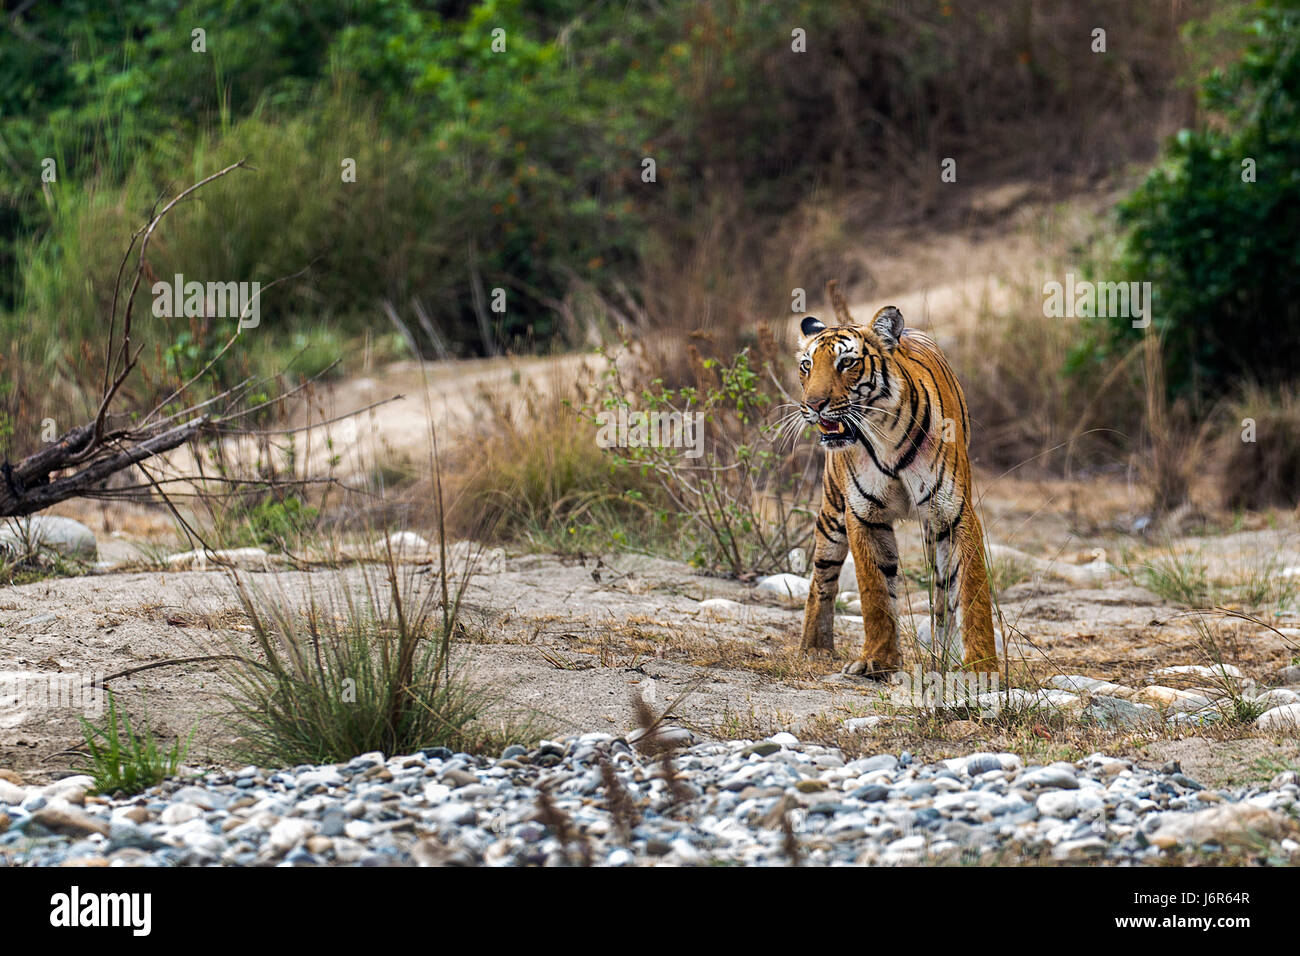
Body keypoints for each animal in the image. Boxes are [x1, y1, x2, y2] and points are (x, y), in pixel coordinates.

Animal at [795, 284, 997, 677]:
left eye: (847, 363)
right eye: (807, 365)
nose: (813, 404)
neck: (883, 434)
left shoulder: (955, 513)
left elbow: (972, 590)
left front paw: (981, 665)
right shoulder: (863, 515)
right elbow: (875, 591)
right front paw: (877, 660)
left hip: (934, 532)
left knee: (942, 595)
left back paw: (945, 653)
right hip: (832, 513)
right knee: (822, 577)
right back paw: (814, 648)